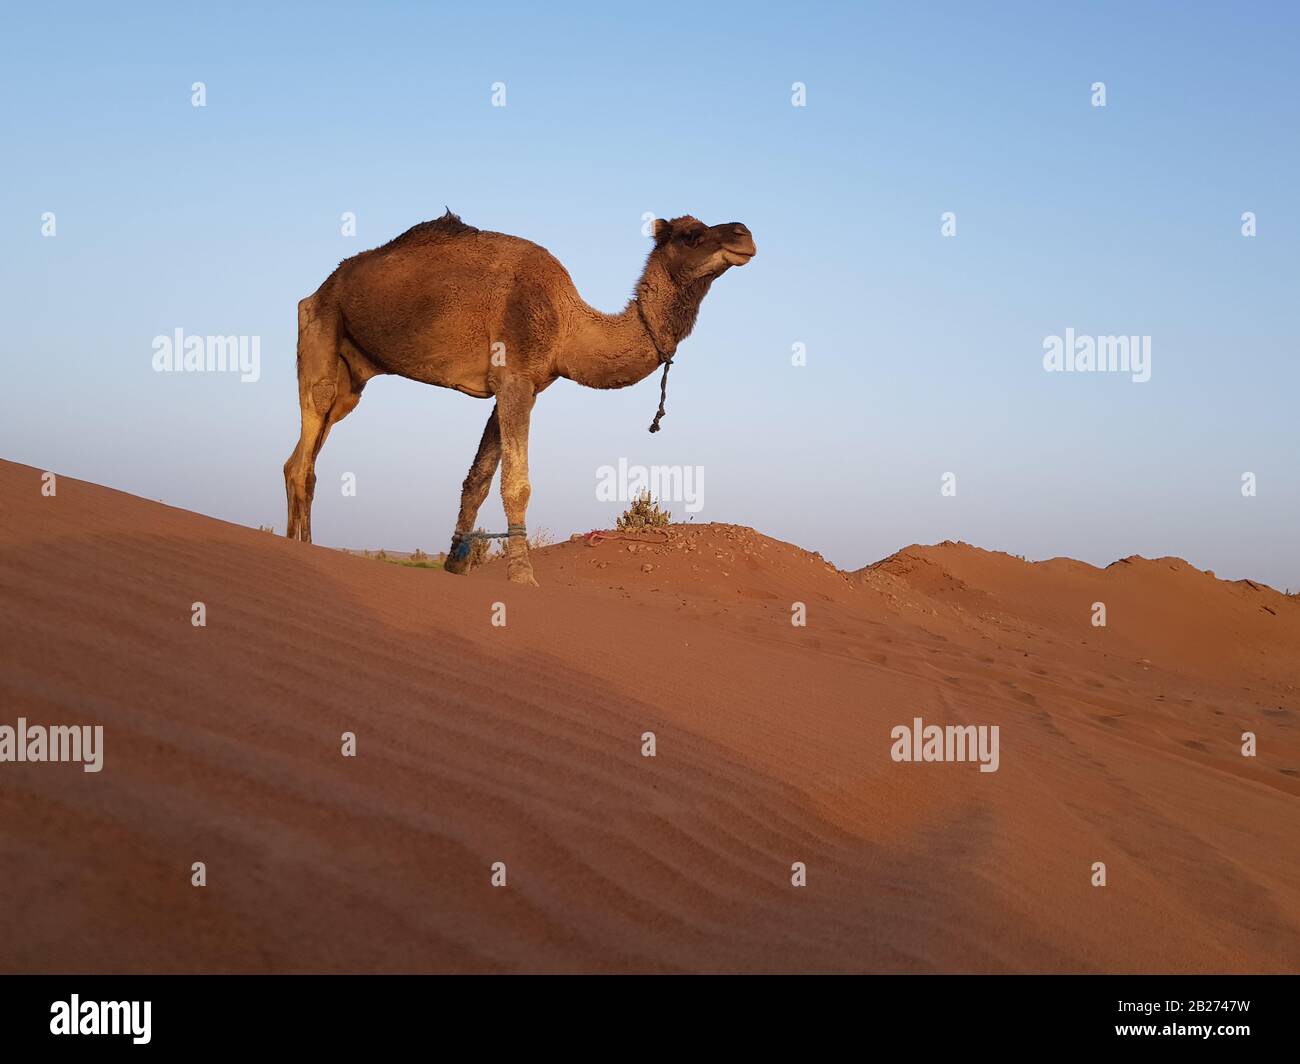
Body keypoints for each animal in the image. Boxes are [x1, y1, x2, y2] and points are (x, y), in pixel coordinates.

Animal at [284, 210, 756, 586]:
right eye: (690, 235)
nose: (744, 233)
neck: (568, 326)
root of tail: (320, 288)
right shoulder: (514, 378)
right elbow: (516, 484)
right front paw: (522, 575)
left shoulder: (516, 386)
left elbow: (477, 480)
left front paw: (456, 567)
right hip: (322, 327)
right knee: (305, 454)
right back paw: (301, 549)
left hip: (352, 378)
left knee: (304, 455)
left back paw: (299, 542)